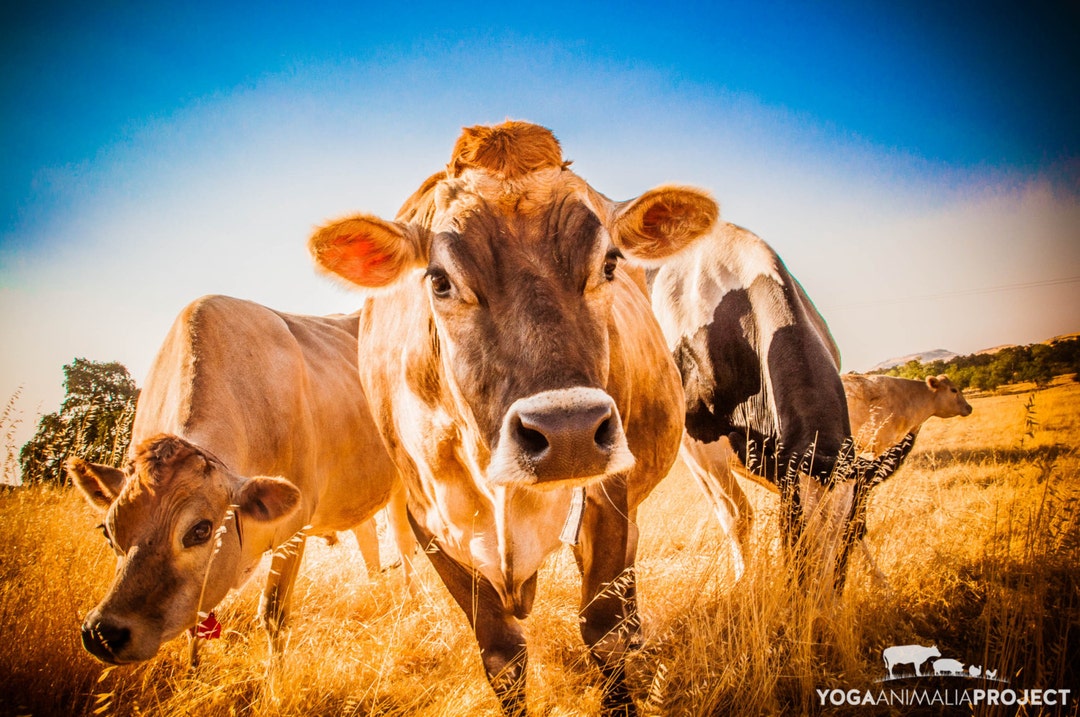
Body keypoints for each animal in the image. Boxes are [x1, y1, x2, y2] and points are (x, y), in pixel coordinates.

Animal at [67, 295, 414, 665]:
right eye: (107, 532)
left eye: (200, 530)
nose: (103, 633)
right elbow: (195, 627)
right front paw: (194, 670)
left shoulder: (295, 525)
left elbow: (273, 615)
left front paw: (274, 681)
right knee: (368, 537)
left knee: (404, 544)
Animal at [308, 121, 718, 716]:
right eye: (440, 281)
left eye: (609, 264)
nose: (569, 433)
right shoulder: (426, 522)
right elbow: (501, 655)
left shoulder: (607, 495)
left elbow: (604, 633)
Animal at [649, 221, 910, 590]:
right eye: (792, 531)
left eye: (849, 534)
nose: (817, 602)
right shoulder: (696, 445)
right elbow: (736, 516)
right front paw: (743, 584)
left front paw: (880, 581)